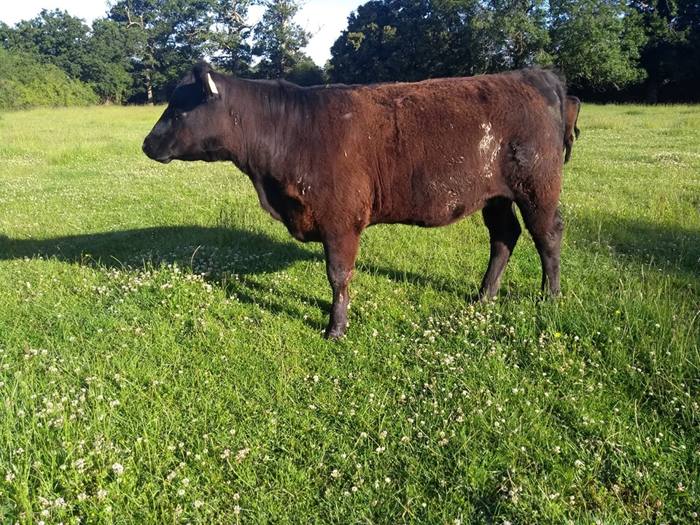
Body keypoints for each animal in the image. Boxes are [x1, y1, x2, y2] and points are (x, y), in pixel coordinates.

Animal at [143, 62, 567, 339]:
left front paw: (336, 328)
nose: (146, 144)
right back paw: (483, 297)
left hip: (538, 189)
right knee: (504, 237)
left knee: (547, 237)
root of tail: (532, 76)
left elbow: (338, 275)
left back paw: (549, 298)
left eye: (179, 108)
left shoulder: (340, 221)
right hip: (495, 196)